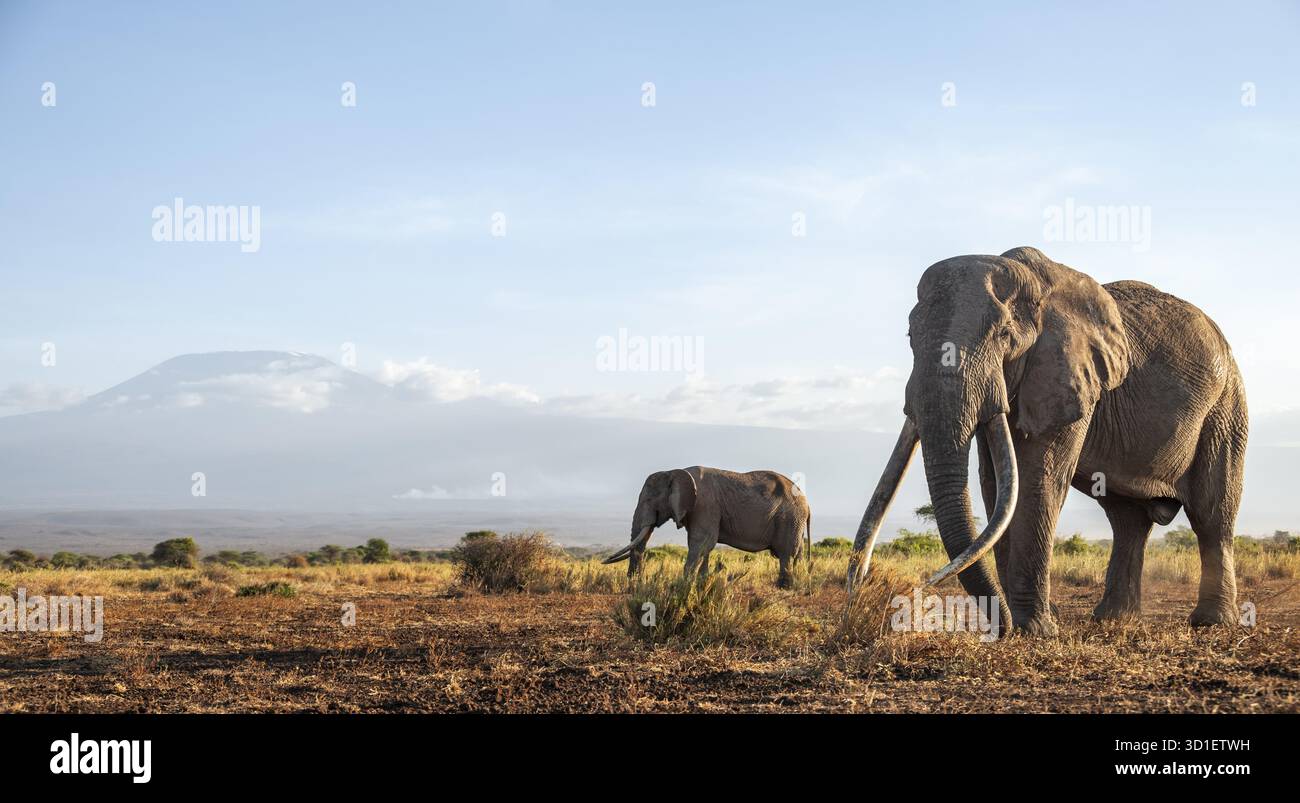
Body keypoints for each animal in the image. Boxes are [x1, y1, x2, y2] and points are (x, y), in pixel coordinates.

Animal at [603, 467, 812, 588]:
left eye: (649, 500)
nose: (633, 583)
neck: (674, 471)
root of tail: (807, 503)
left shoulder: (704, 504)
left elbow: (702, 542)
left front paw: (682, 586)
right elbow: (703, 547)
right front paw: (701, 584)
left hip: (790, 518)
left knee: (786, 553)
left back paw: (784, 587)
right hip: (794, 520)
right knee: (797, 552)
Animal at [848, 246, 1248, 636]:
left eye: (1004, 335)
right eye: (910, 337)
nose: (865, 586)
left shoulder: (1069, 375)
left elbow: (1036, 478)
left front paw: (1035, 628)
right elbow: (995, 483)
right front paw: (1021, 623)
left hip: (1226, 406)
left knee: (1212, 512)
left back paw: (1211, 623)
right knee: (1127, 520)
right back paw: (1113, 619)